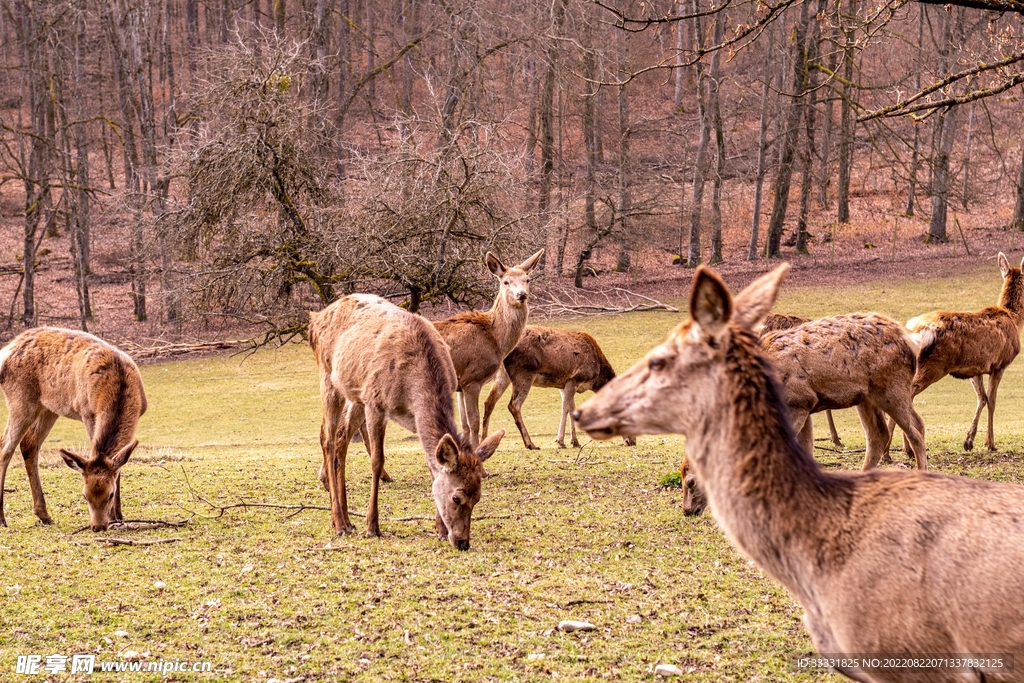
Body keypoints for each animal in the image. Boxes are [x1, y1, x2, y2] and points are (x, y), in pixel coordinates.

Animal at [0, 328, 146, 532]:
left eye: (110, 494)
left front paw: (118, 515)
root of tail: (5, 351)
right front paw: (114, 516)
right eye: (84, 495)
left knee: (30, 444)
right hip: (20, 399)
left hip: (48, 407)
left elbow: (119, 465)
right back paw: (2, 518)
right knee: (5, 448)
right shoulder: (88, 413)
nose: (98, 526)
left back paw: (44, 514)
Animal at [308, 293, 505, 550]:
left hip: (355, 394)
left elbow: (432, 464)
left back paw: (347, 521)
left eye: (478, 497)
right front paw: (372, 526)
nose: (463, 542)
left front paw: (440, 530)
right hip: (328, 379)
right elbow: (377, 461)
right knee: (327, 438)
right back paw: (340, 523)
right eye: (456, 497)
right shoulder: (376, 404)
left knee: (342, 439)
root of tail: (314, 321)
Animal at [433, 249, 544, 447]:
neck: (495, 340)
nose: (521, 294)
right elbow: (474, 422)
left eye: (527, 279)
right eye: (506, 281)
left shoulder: (460, 385)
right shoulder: (472, 378)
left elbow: (464, 426)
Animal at [481, 326, 634, 449]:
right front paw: (561, 441)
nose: (633, 441)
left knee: (489, 401)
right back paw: (530, 444)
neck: (595, 377)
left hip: (502, 375)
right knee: (514, 405)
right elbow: (566, 409)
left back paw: (483, 441)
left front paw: (574, 442)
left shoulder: (564, 384)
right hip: (523, 373)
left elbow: (571, 409)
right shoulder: (575, 379)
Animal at [901, 252, 1024, 452]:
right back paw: (908, 449)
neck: (1014, 319)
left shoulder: (975, 369)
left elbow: (982, 398)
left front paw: (969, 441)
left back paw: (890, 452)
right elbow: (992, 402)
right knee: (908, 395)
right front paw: (991, 443)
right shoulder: (1000, 365)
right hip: (933, 365)